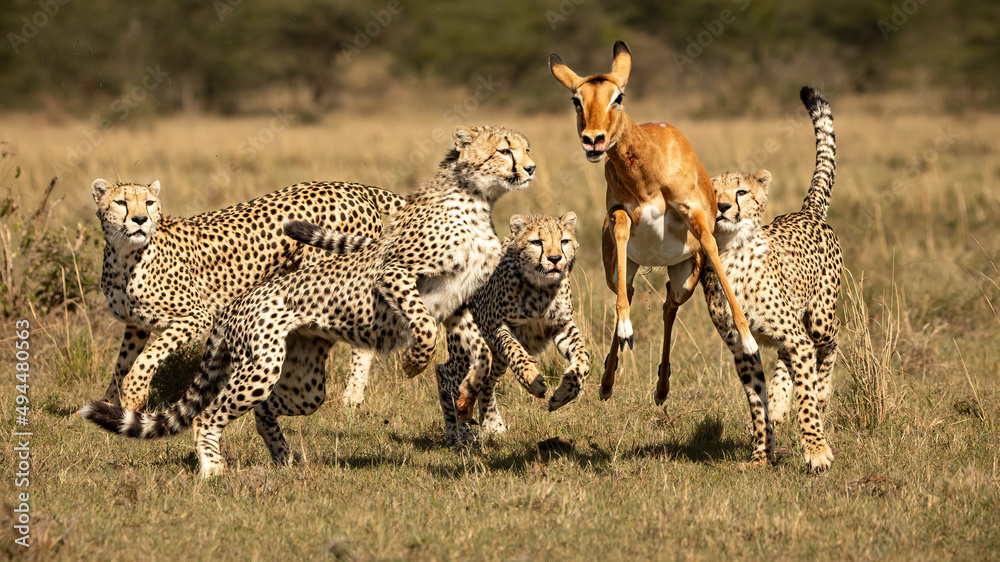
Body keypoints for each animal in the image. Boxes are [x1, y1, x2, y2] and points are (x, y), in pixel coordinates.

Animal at [92, 178, 405, 412]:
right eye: (121, 202)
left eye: (149, 203)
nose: (140, 219)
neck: (124, 255)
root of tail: (352, 186)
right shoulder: (135, 325)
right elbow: (122, 364)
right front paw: (107, 404)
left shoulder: (195, 317)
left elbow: (147, 358)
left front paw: (133, 397)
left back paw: (351, 397)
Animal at [702, 86, 842, 473]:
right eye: (712, 192)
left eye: (741, 192)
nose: (723, 208)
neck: (729, 252)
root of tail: (806, 212)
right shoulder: (741, 348)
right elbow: (756, 405)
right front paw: (760, 454)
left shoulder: (795, 334)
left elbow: (806, 398)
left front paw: (816, 451)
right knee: (788, 359)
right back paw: (780, 402)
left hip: (820, 317)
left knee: (830, 342)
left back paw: (821, 392)